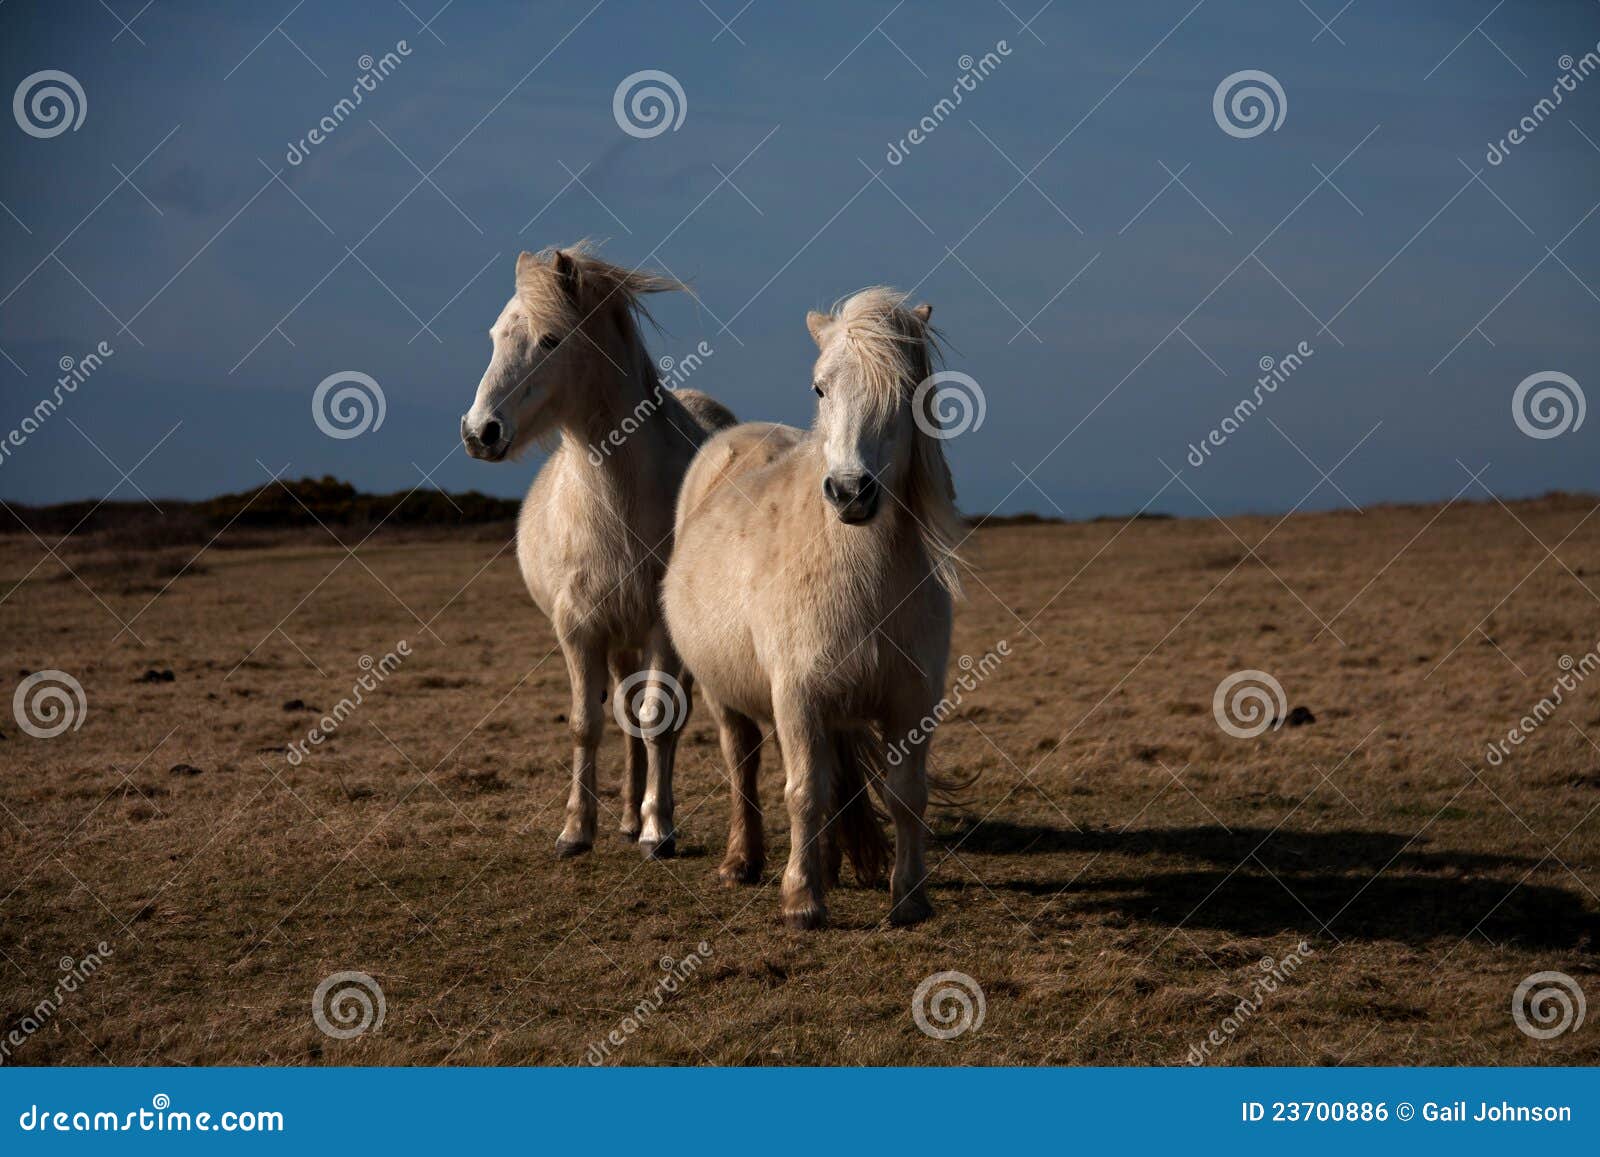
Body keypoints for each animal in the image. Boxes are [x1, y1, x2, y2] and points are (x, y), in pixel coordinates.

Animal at [460, 243, 735, 859]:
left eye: (550, 339)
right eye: (493, 336)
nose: (478, 432)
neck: (617, 502)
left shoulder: (662, 630)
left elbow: (659, 721)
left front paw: (659, 831)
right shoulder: (579, 628)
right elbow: (586, 723)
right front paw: (575, 831)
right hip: (619, 641)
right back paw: (628, 817)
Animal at [662, 288, 963, 929]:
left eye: (909, 390)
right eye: (820, 388)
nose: (851, 492)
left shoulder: (913, 700)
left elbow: (905, 795)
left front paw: (909, 898)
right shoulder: (798, 695)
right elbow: (802, 793)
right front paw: (801, 901)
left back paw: (827, 865)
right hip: (727, 695)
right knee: (744, 764)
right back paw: (743, 862)